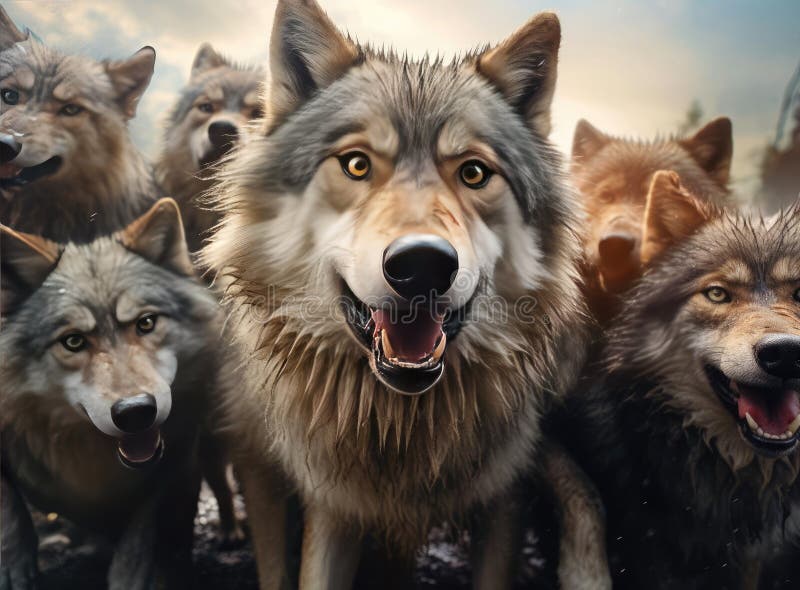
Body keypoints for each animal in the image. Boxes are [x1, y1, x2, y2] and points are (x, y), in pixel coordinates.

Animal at [0, 199, 221, 590]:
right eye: (73, 341)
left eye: (145, 323)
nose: (136, 411)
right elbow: (8, 505)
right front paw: (13, 566)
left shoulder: (174, 460)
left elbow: (139, 540)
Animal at [203, 1, 609, 588]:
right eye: (356, 164)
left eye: (474, 172)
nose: (422, 265)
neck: (403, 425)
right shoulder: (334, 504)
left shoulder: (504, 498)